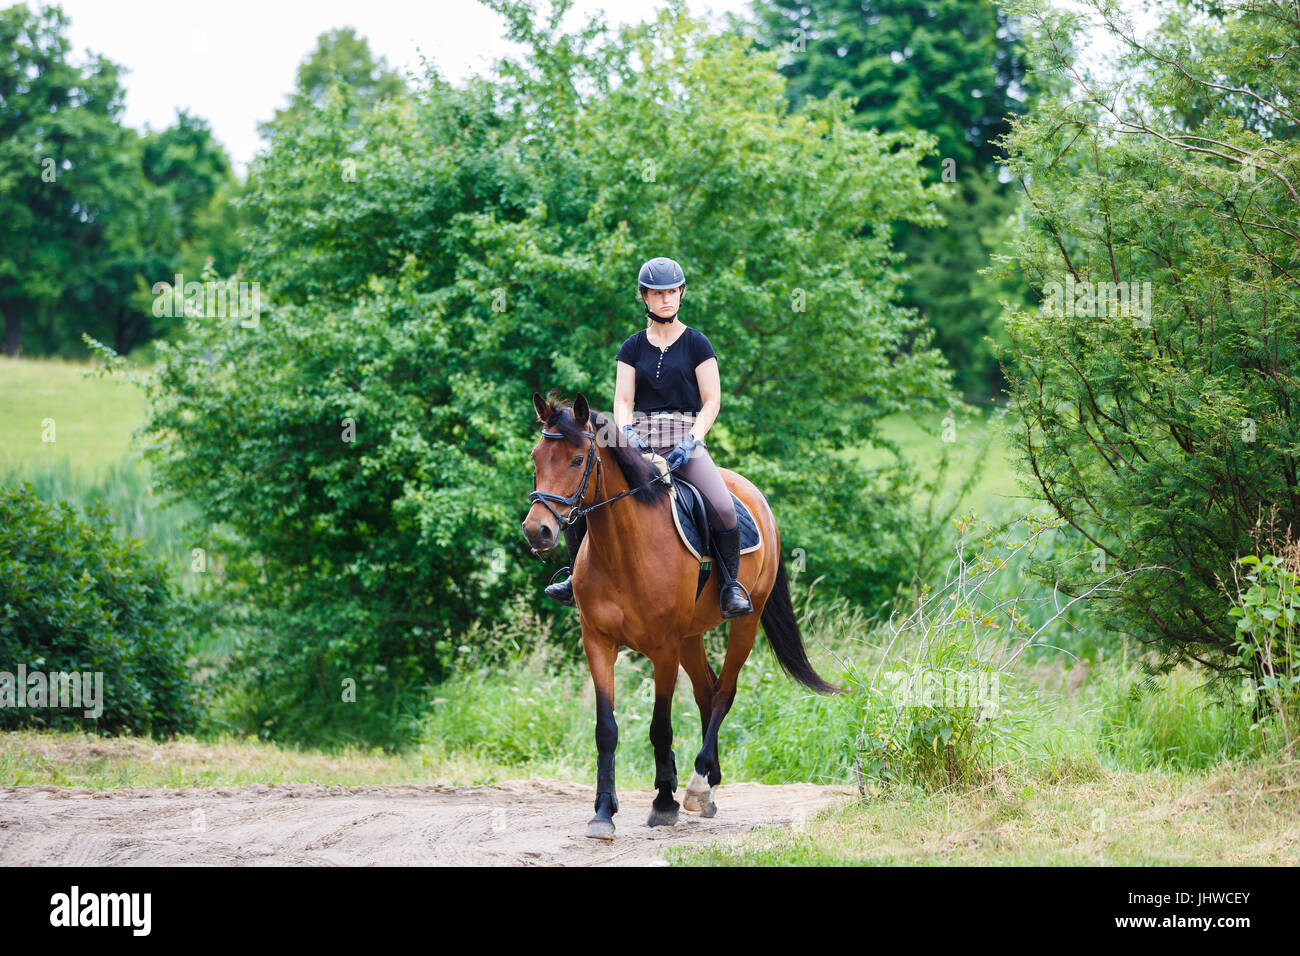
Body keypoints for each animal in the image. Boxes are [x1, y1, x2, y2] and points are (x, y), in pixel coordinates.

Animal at [521, 391, 843, 840]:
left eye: (577, 459)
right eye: (537, 457)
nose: (538, 531)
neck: (623, 550)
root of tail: (754, 495)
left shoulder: (663, 649)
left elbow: (660, 726)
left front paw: (663, 802)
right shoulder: (598, 642)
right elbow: (606, 729)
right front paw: (603, 811)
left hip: (744, 622)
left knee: (724, 692)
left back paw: (697, 786)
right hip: (692, 635)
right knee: (707, 691)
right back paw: (709, 782)